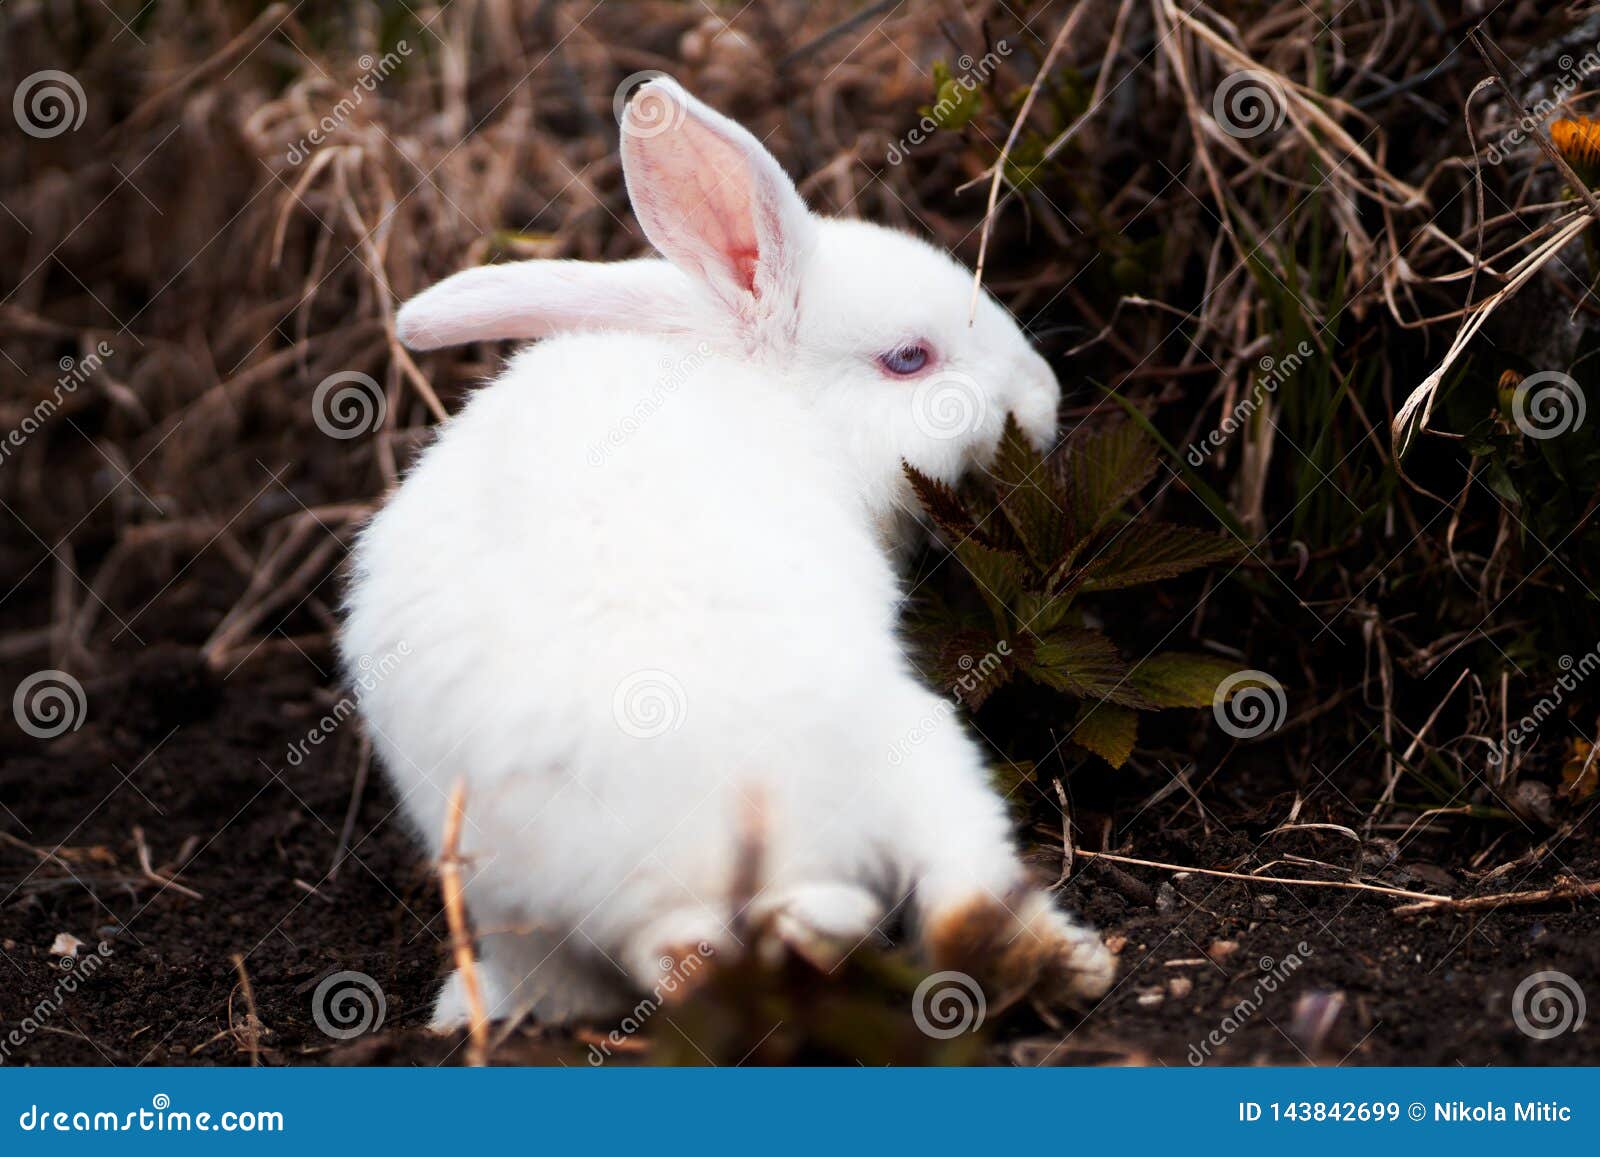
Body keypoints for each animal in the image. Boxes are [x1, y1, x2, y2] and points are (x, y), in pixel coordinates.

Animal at [340, 77, 1115, 1030]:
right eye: (909, 357)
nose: (1044, 397)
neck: (771, 387)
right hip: (920, 750)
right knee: (963, 903)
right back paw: (1069, 966)